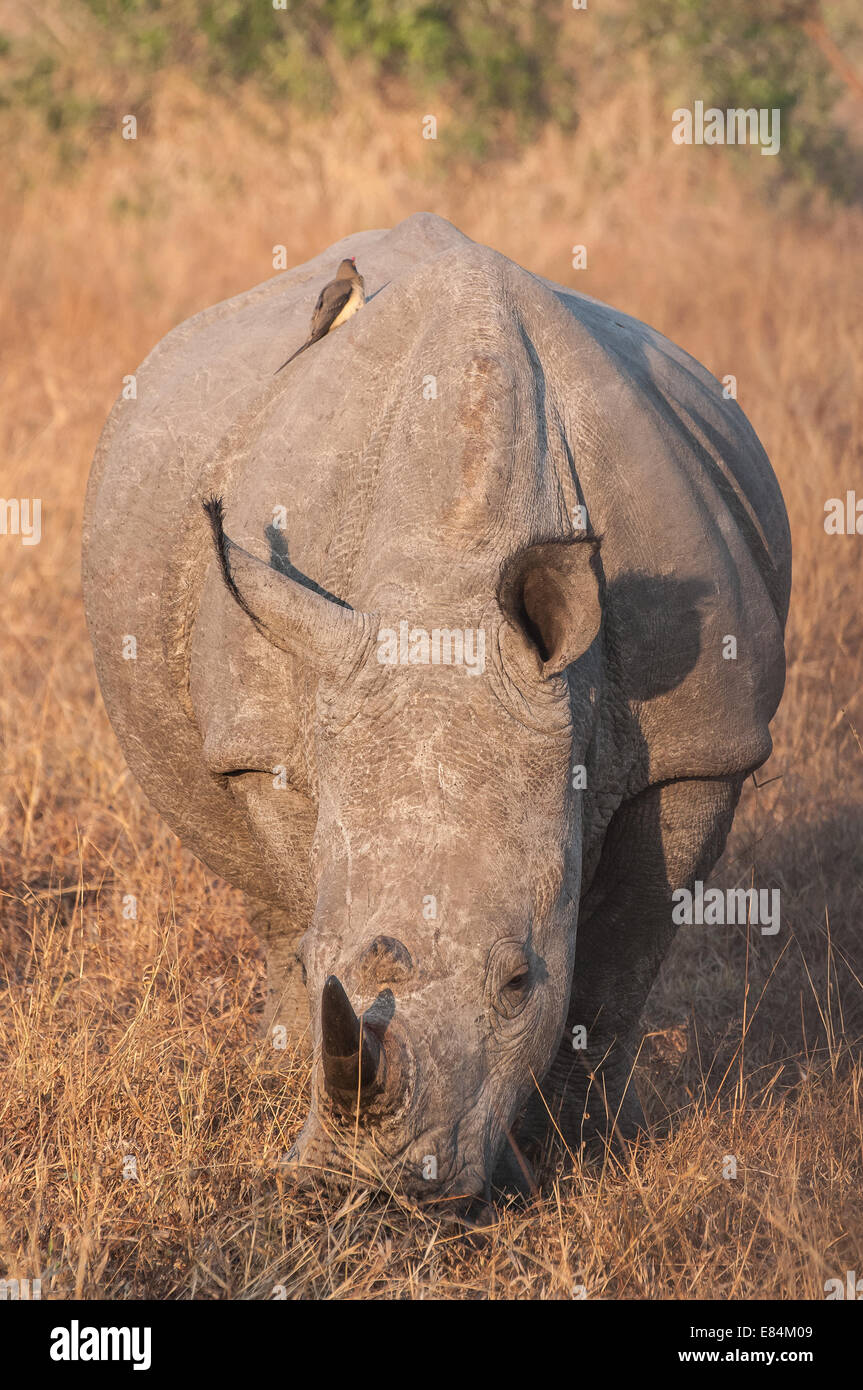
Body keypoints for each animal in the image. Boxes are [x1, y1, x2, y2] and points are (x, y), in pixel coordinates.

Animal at [82, 212, 790, 1201]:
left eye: (519, 984)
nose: (379, 1188)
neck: (449, 587)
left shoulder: (704, 741)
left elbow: (621, 955)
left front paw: (575, 1150)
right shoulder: (274, 723)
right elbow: (301, 899)